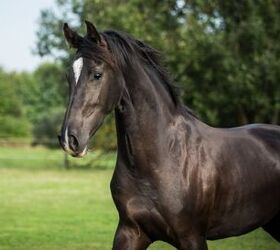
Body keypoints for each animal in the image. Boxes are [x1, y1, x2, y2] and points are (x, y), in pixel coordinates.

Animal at [58, 20, 278, 249]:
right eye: (68, 76)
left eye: (97, 74)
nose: (69, 139)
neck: (165, 155)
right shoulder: (129, 232)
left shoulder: (192, 237)